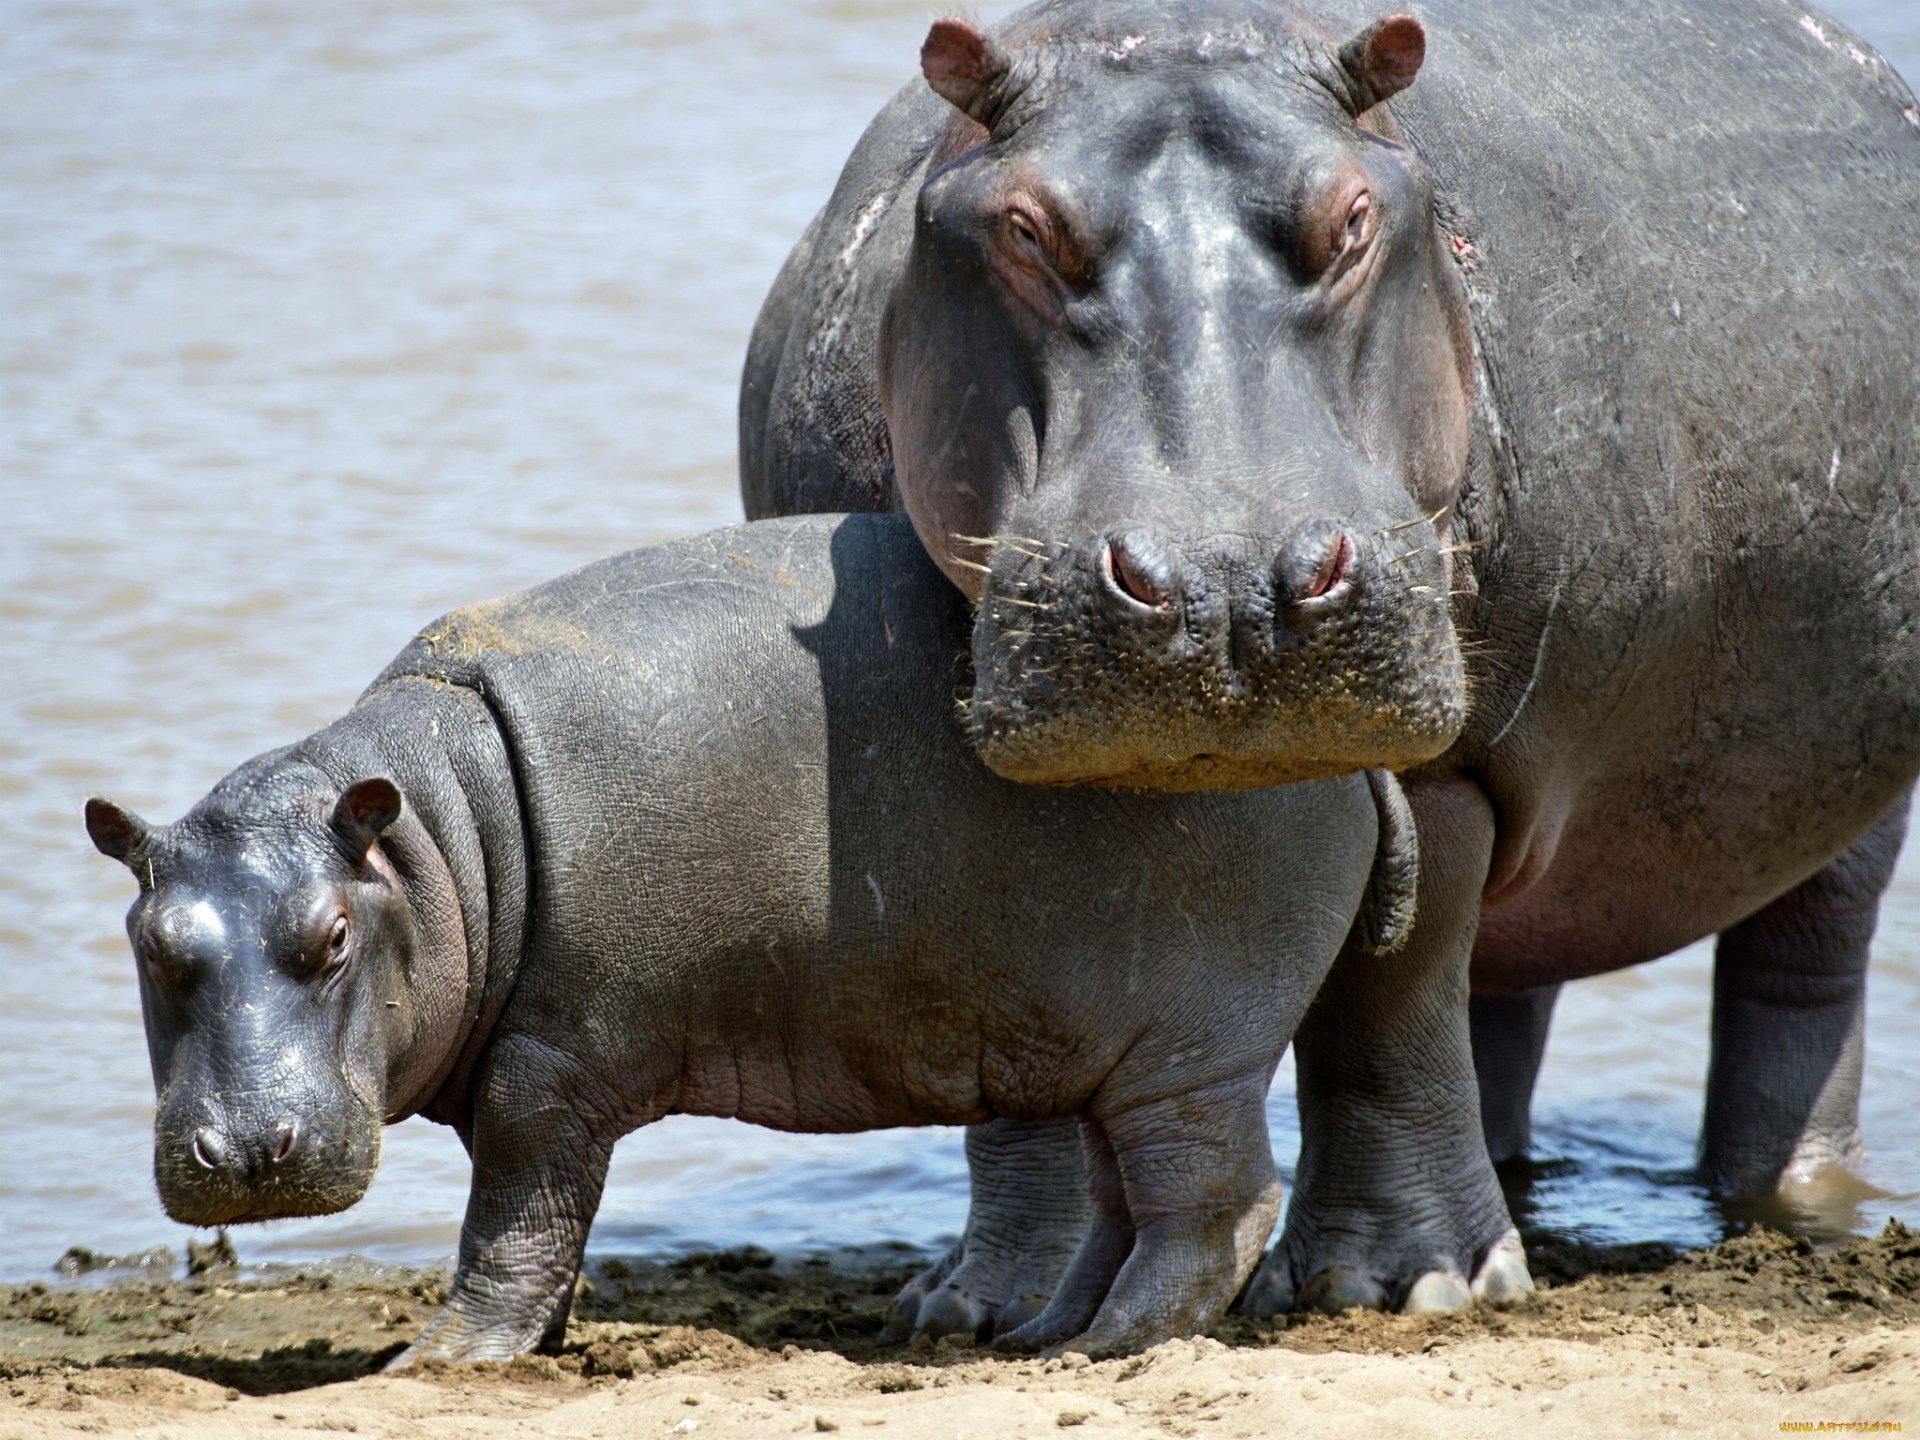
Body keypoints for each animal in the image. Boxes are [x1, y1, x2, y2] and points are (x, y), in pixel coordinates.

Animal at [84, 513, 1419, 1362]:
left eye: (331, 938)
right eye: (150, 940)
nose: (245, 1152)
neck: (434, 844)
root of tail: (1356, 759)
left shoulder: (549, 1068)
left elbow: (513, 1216)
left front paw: (439, 1362)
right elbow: (546, 1231)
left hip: (1198, 1048)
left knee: (1214, 1204)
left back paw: (1114, 1348)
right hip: (1106, 1044)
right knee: (1121, 1205)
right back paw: (1055, 1335)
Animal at [739, 0, 1920, 1332]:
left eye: (1354, 217)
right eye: (1024, 225)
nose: (1228, 578)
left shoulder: (1458, 767)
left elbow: (1385, 1000)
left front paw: (1410, 1286)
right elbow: (1009, 987)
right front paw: (983, 1304)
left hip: (1844, 790)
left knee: (1805, 970)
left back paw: (1789, 1200)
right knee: (1506, 991)